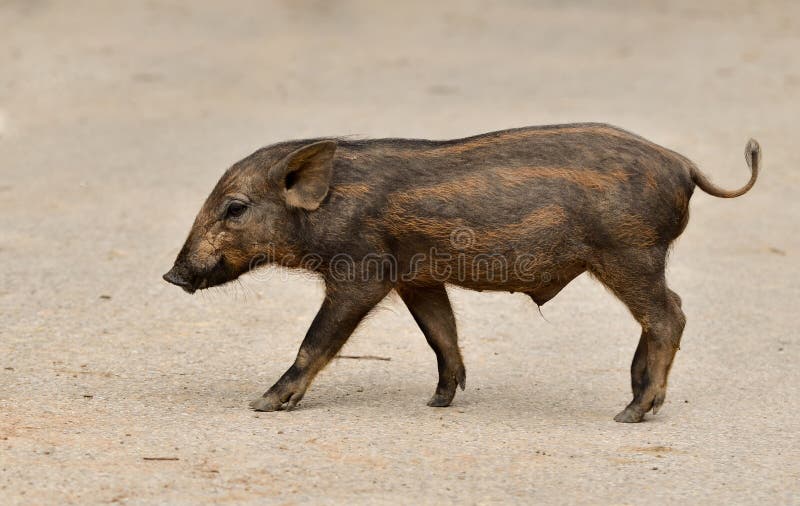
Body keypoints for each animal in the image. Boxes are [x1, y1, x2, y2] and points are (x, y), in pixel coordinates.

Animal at [163, 123, 760, 422]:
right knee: (661, 317)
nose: (173, 276)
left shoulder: (361, 271)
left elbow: (317, 339)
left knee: (670, 313)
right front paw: (437, 403)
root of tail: (685, 165)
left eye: (235, 208)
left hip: (629, 253)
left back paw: (631, 412)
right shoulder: (417, 277)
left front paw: (261, 405)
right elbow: (441, 334)